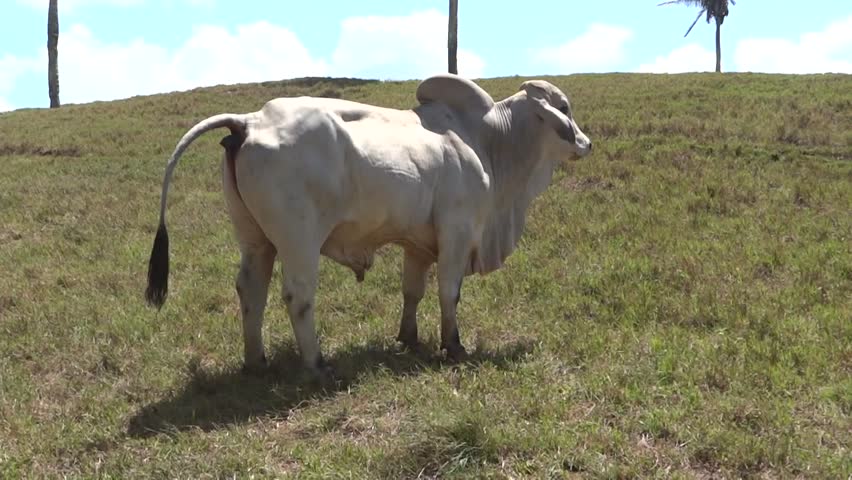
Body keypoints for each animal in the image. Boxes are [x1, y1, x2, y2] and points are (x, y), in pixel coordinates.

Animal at [145, 74, 592, 377]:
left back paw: (257, 361)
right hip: (299, 240)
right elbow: (449, 294)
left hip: (255, 241)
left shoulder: (417, 244)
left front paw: (408, 338)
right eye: (564, 108)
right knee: (297, 296)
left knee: (251, 291)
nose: (586, 143)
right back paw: (316, 364)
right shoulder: (458, 231)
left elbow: (412, 291)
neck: (487, 139)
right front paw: (454, 346)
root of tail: (249, 121)